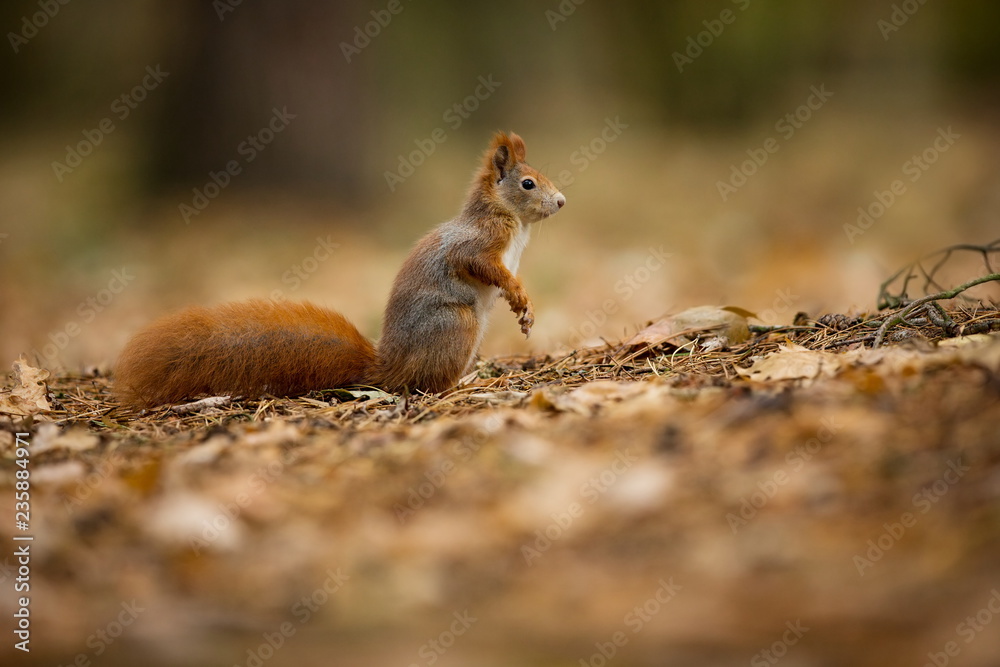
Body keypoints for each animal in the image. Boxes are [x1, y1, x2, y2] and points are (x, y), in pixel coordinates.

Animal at [115, 131, 566, 408]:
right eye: (527, 183)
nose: (561, 201)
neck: (512, 220)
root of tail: (388, 367)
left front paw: (525, 310)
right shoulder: (477, 243)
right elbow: (482, 265)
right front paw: (518, 294)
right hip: (457, 323)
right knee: (426, 385)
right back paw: (468, 385)